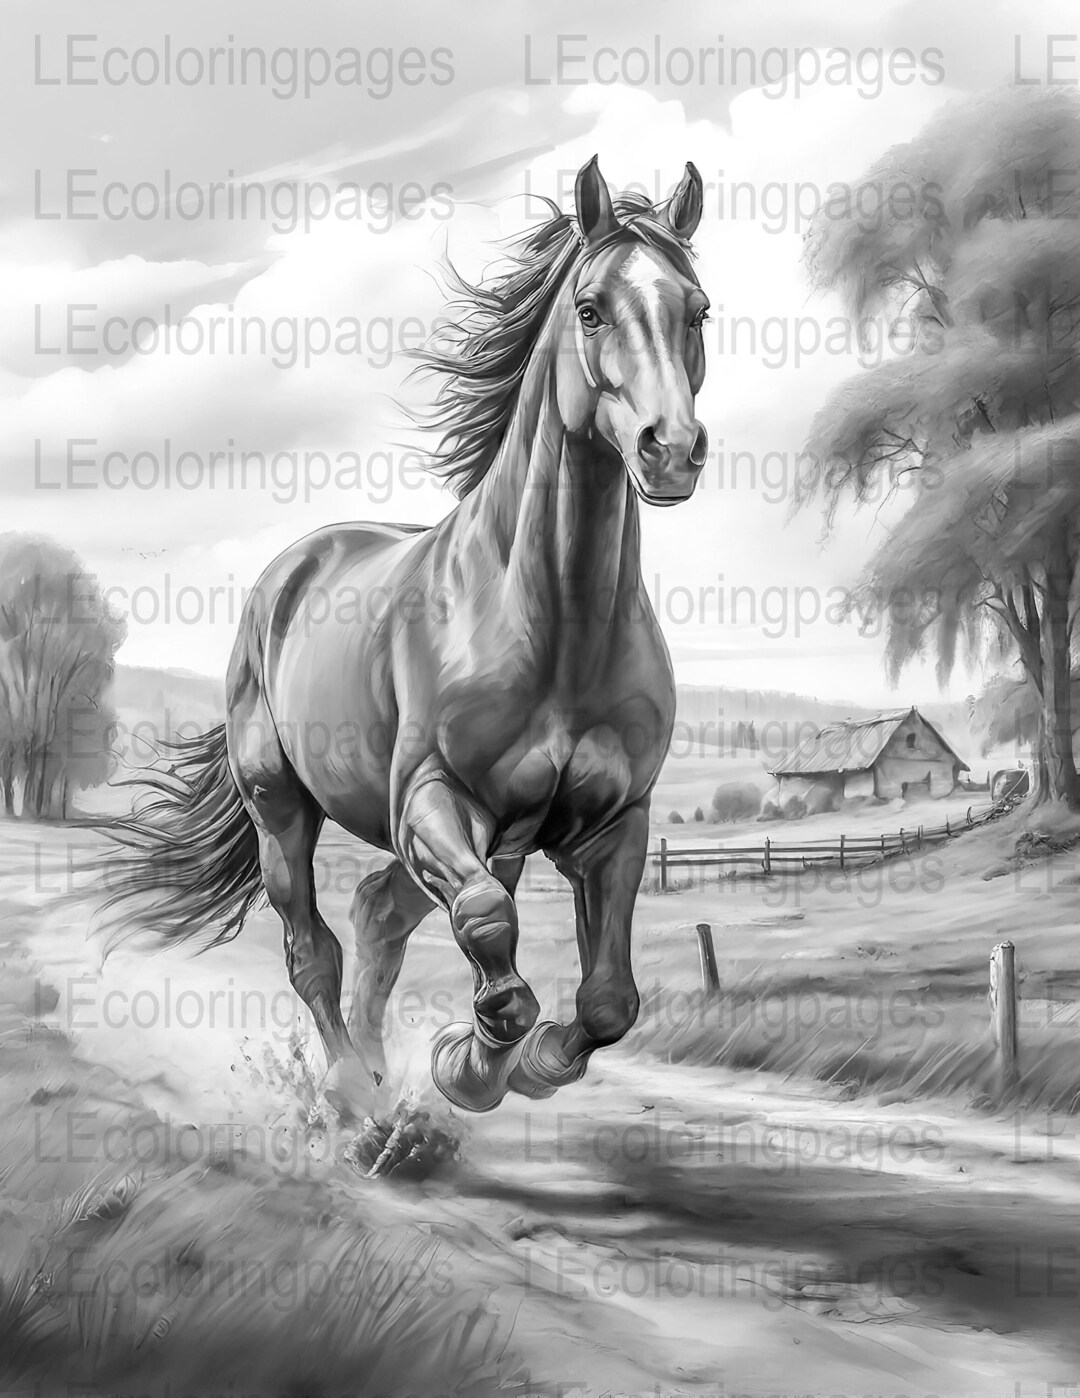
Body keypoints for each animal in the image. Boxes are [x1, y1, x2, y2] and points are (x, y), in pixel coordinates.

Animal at [99, 156, 711, 1135]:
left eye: (696, 310)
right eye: (590, 308)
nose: (671, 451)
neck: (554, 628)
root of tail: (289, 570)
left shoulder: (613, 822)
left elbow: (610, 999)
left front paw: (513, 1065)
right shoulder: (433, 799)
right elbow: (489, 926)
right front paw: (472, 1062)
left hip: (492, 834)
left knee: (380, 914)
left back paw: (389, 1087)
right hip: (282, 811)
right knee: (314, 946)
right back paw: (359, 1098)